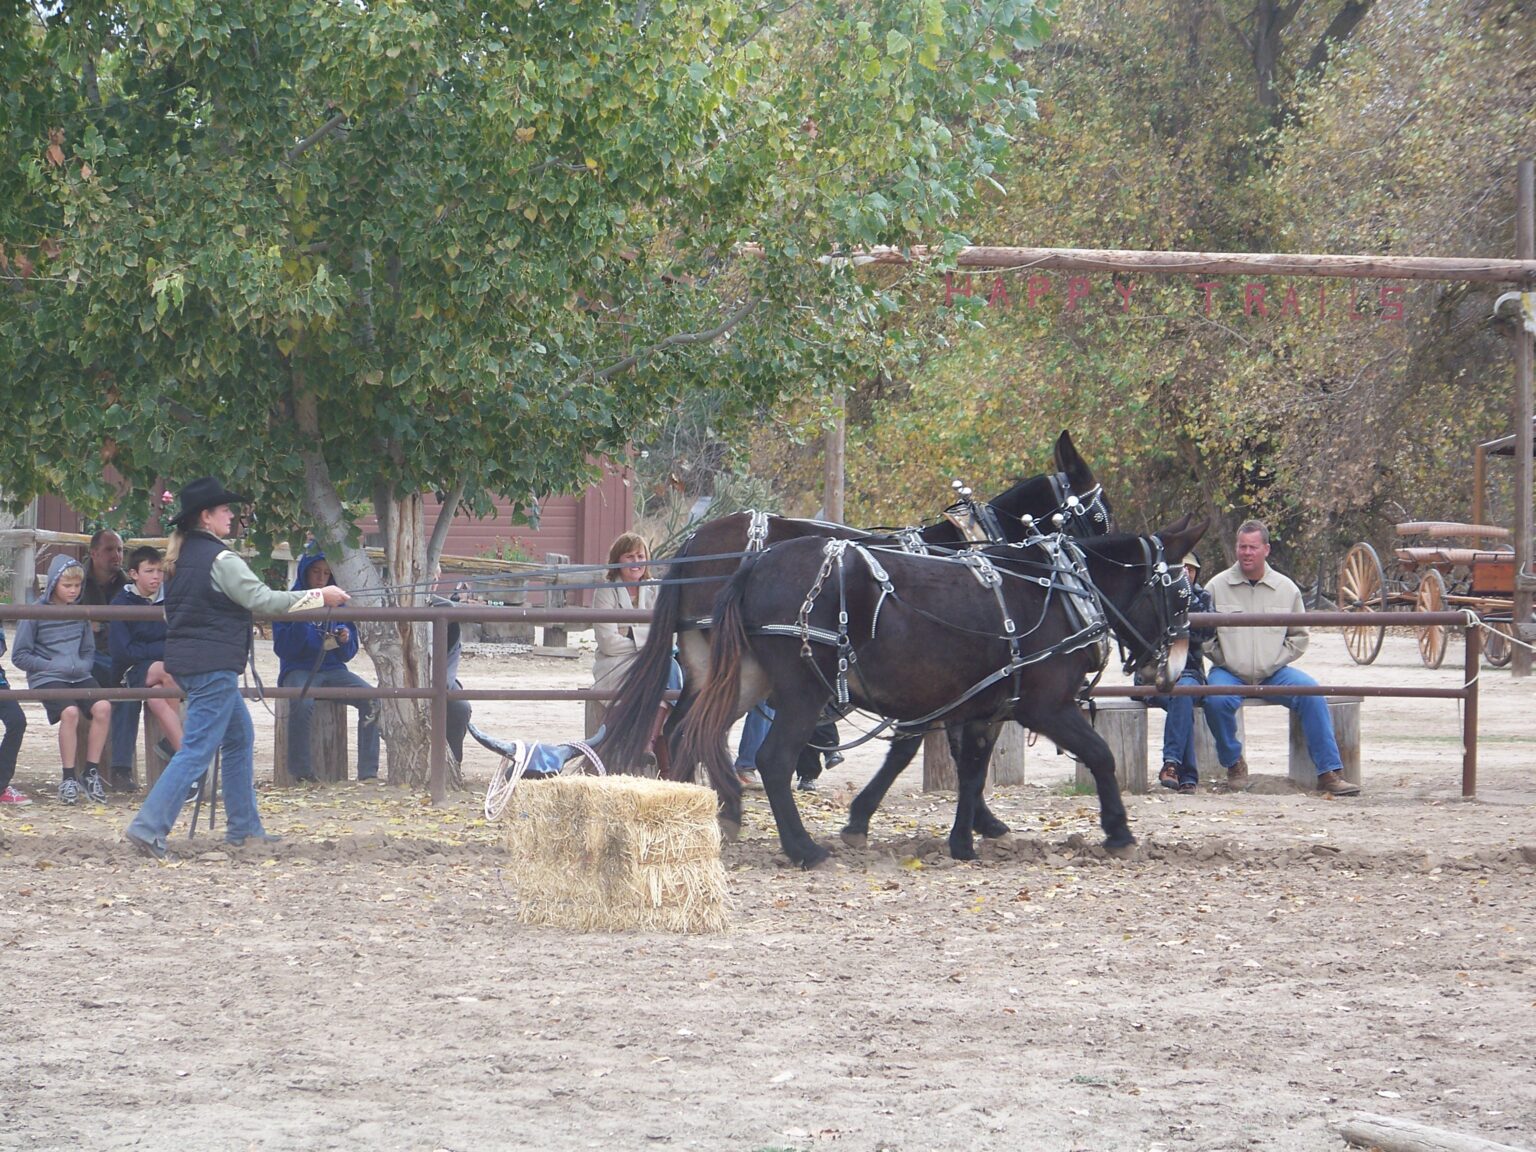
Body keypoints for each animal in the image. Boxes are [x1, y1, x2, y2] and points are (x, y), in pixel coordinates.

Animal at [597, 431, 1112, 801]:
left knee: (683, 728)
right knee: (692, 728)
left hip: (706, 661)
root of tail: (693, 543)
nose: (1092, 575)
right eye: (1099, 516)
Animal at [675, 517, 1208, 867]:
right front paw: (1118, 831)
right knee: (773, 759)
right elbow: (1100, 755)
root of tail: (757, 564)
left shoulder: (987, 708)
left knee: (687, 734)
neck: (1062, 591)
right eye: (1181, 596)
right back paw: (803, 849)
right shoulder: (1047, 707)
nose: (1174, 670)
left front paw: (963, 843)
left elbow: (971, 774)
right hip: (803, 691)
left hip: (746, 678)